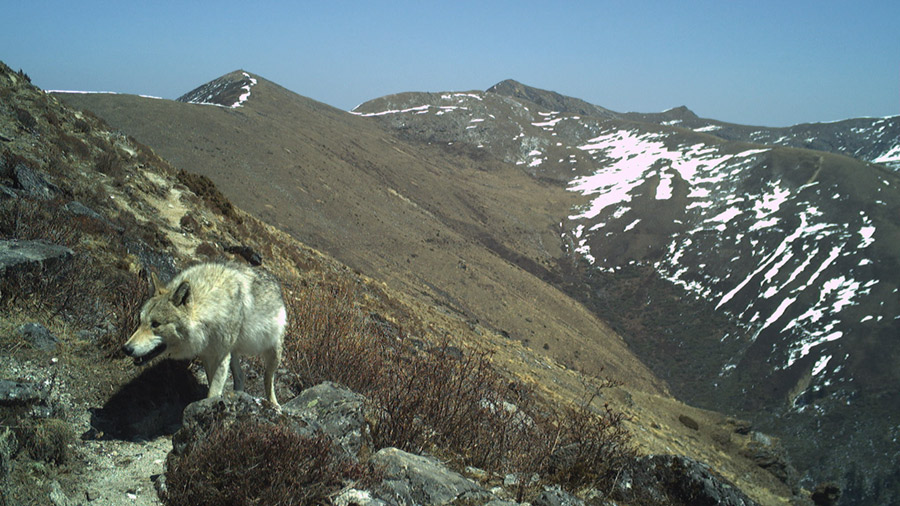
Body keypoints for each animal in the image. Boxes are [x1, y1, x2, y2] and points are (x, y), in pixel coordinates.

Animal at [122, 262, 287, 406]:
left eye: (155, 324)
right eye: (140, 321)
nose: (126, 349)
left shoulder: (220, 357)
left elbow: (213, 392)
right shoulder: (207, 355)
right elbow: (211, 387)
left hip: (274, 354)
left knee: (268, 378)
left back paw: (275, 406)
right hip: (232, 353)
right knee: (241, 376)